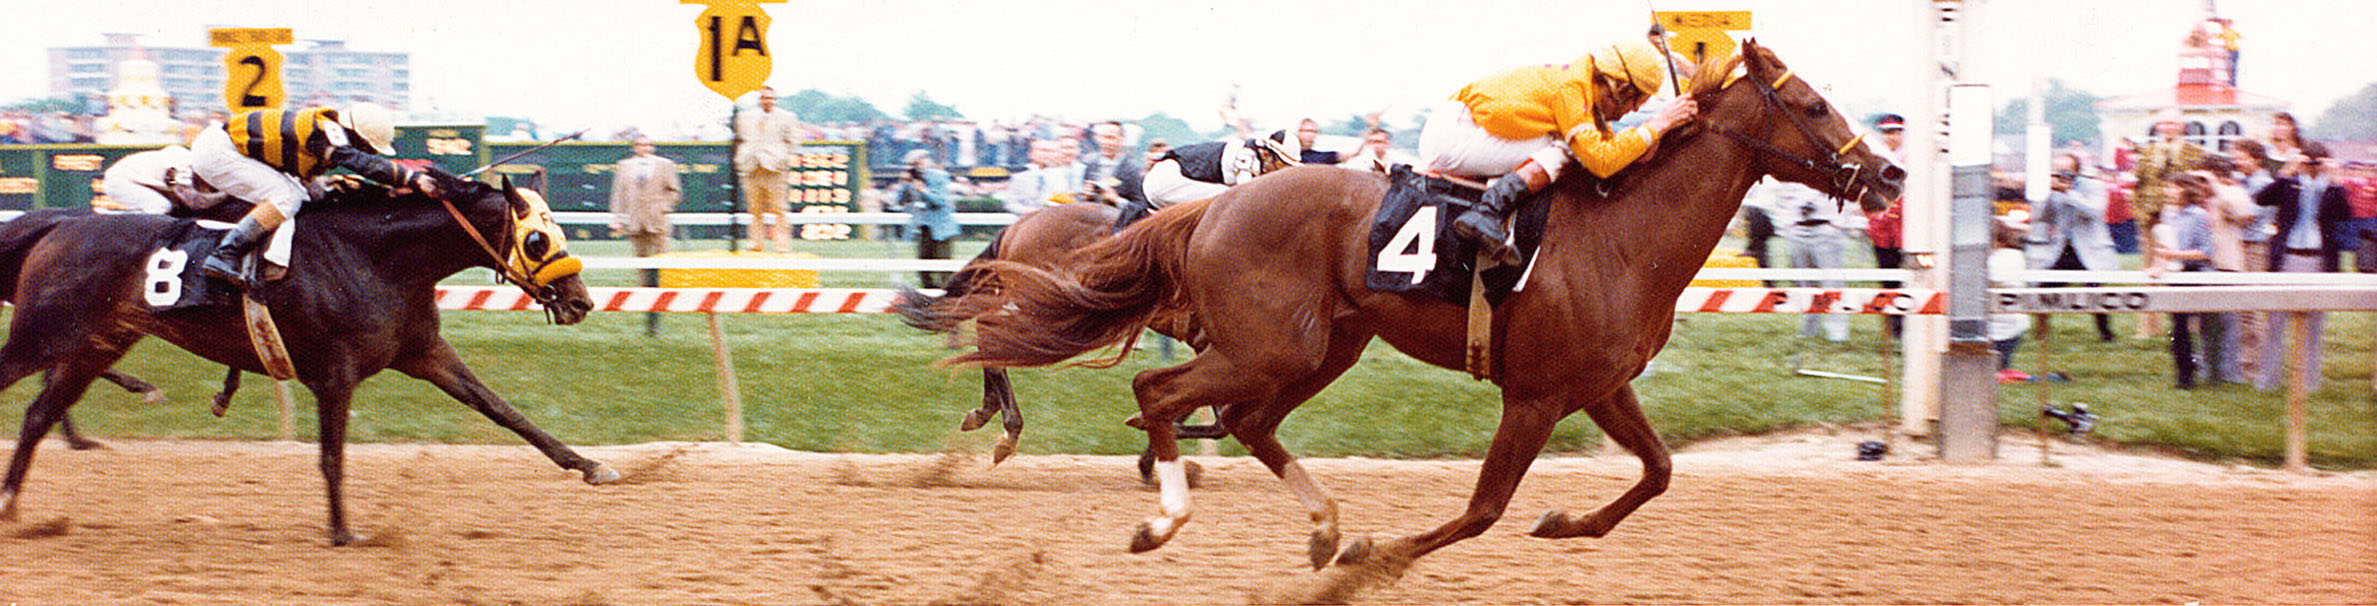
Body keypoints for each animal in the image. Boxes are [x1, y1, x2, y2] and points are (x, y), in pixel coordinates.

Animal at [0, 171, 614, 546]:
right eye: (537, 240)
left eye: (558, 231)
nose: (581, 302)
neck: (376, 257)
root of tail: (63, 222)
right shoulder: (335, 375)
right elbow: (332, 456)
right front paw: (344, 532)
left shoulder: (423, 352)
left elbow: (503, 410)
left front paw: (590, 466)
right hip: (43, 333)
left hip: (92, 343)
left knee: (38, 415)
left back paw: (11, 507)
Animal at [939, 40, 1902, 575]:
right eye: (1812, 103)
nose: (1890, 174)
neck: (1623, 235)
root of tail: (1208, 209)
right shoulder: (1535, 394)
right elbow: (1482, 510)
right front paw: (1378, 558)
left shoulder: (1599, 385)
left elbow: (1659, 472)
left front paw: (1563, 523)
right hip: (1268, 347)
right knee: (1156, 393)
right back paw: (1156, 513)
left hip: (1321, 348)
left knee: (1242, 420)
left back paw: (1319, 523)